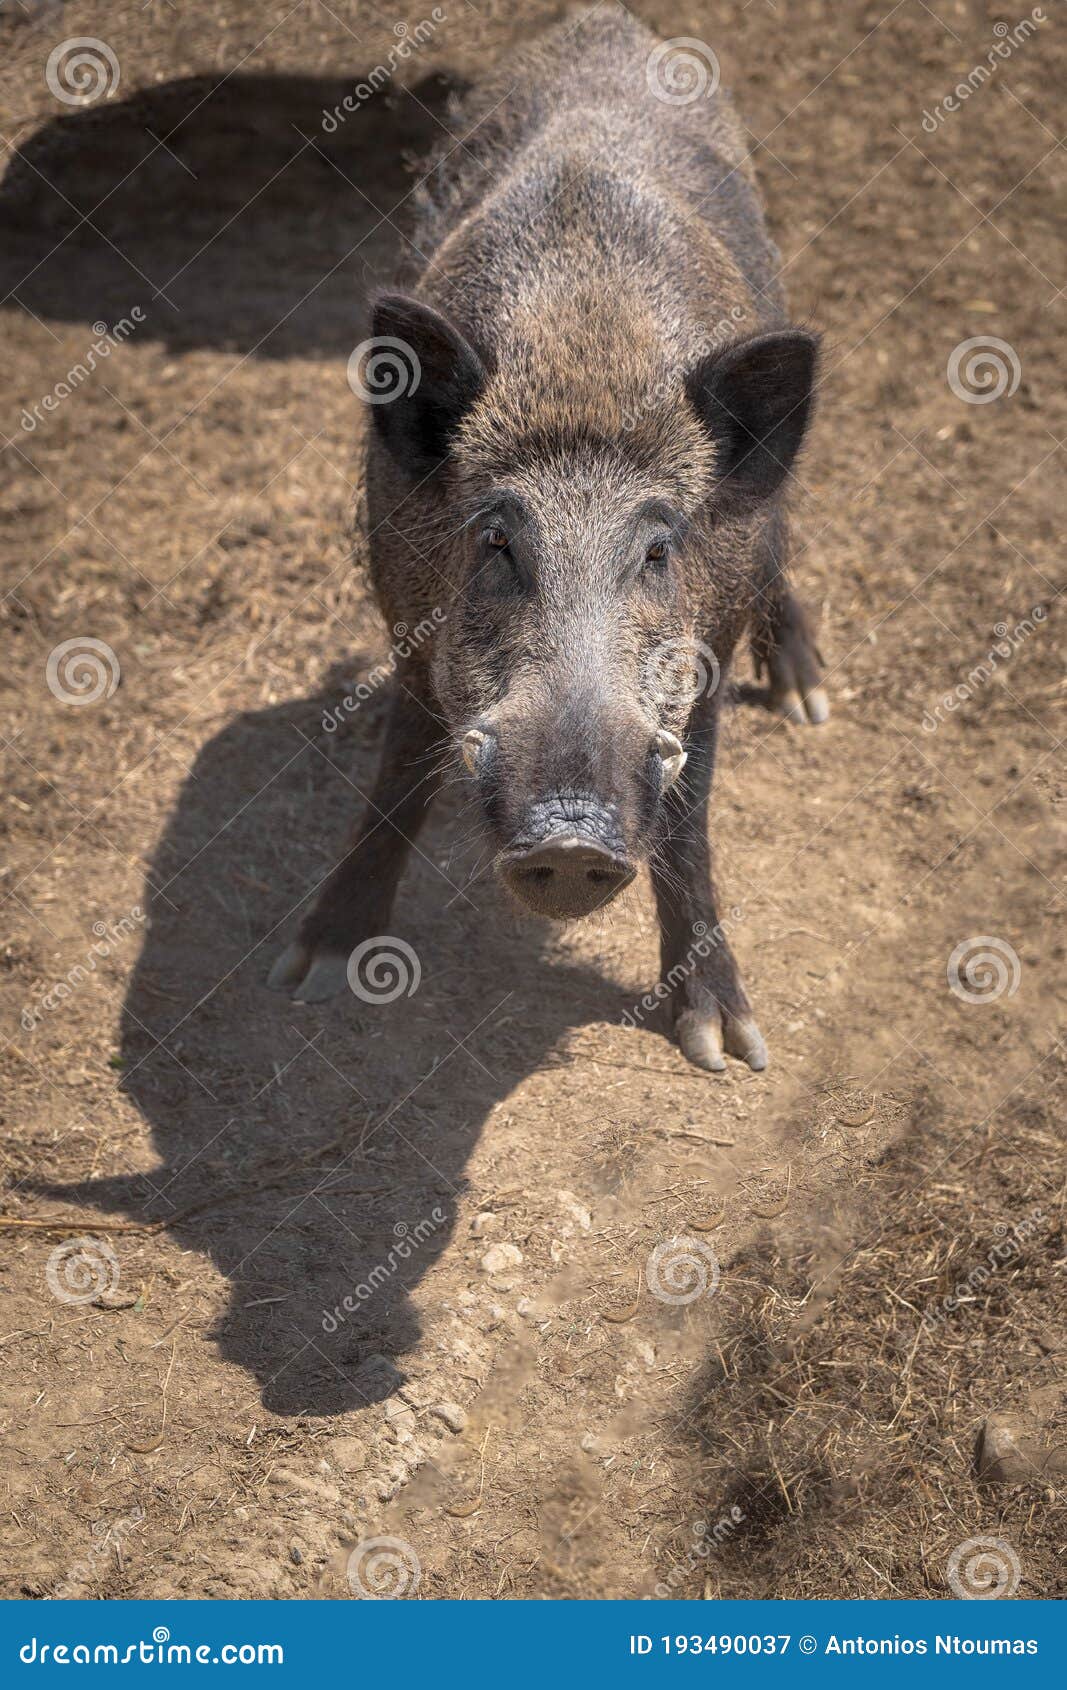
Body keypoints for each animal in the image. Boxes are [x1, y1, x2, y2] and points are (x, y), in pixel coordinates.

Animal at [268, 4, 828, 1072]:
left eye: (656, 551)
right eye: (497, 540)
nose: (569, 840)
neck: (584, 369)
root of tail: (602, 22)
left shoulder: (703, 653)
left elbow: (689, 822)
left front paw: (727, 1051)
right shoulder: (404, 608)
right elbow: (400, 765)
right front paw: (313, 974)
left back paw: (809, 700)